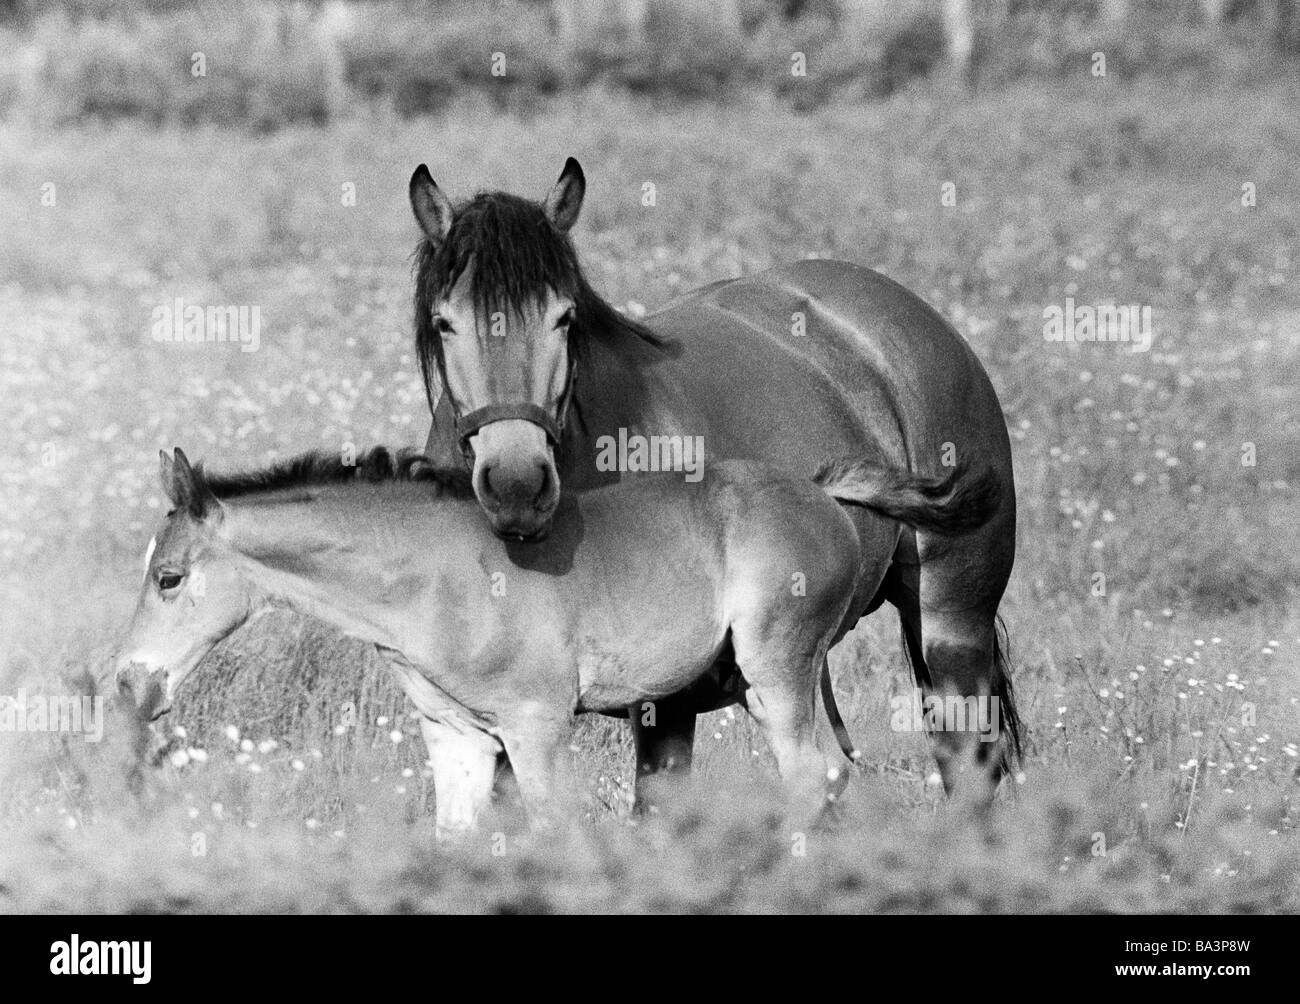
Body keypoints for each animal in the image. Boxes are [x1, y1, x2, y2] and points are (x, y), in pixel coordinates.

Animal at [113, 446, 1001, 835]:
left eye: (170, 578)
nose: (128, 684)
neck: (431, 579)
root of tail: (823, 492)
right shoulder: (455, 736)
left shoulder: (536, 725)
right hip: (759, 683)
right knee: (830, 777)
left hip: (778, 669)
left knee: (810, 778)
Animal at [408, 158, 1022, 804]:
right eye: (444, 323)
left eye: (564, 318)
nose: (517, 485)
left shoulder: (666, 703)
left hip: (951, 625)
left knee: (963, 762)